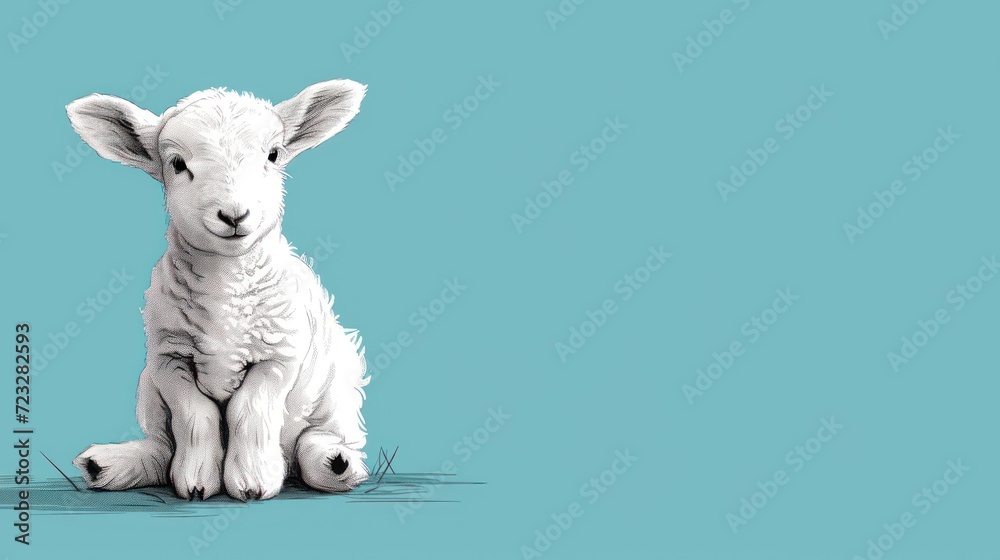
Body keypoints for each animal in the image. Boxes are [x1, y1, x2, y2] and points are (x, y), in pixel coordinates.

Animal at [65, 80, 370, 501]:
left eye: (274, 155)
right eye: (177, 164)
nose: (234, 215)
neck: (225, 279)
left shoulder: (278, 357)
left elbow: (249, 410)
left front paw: (252, 482)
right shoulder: (168, 359)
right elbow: (197, 416)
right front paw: (196, 482)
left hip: (337, 381)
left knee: (319, 436)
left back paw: (335, 465)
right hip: (147, 390)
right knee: (161, 447)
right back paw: (108, 465)